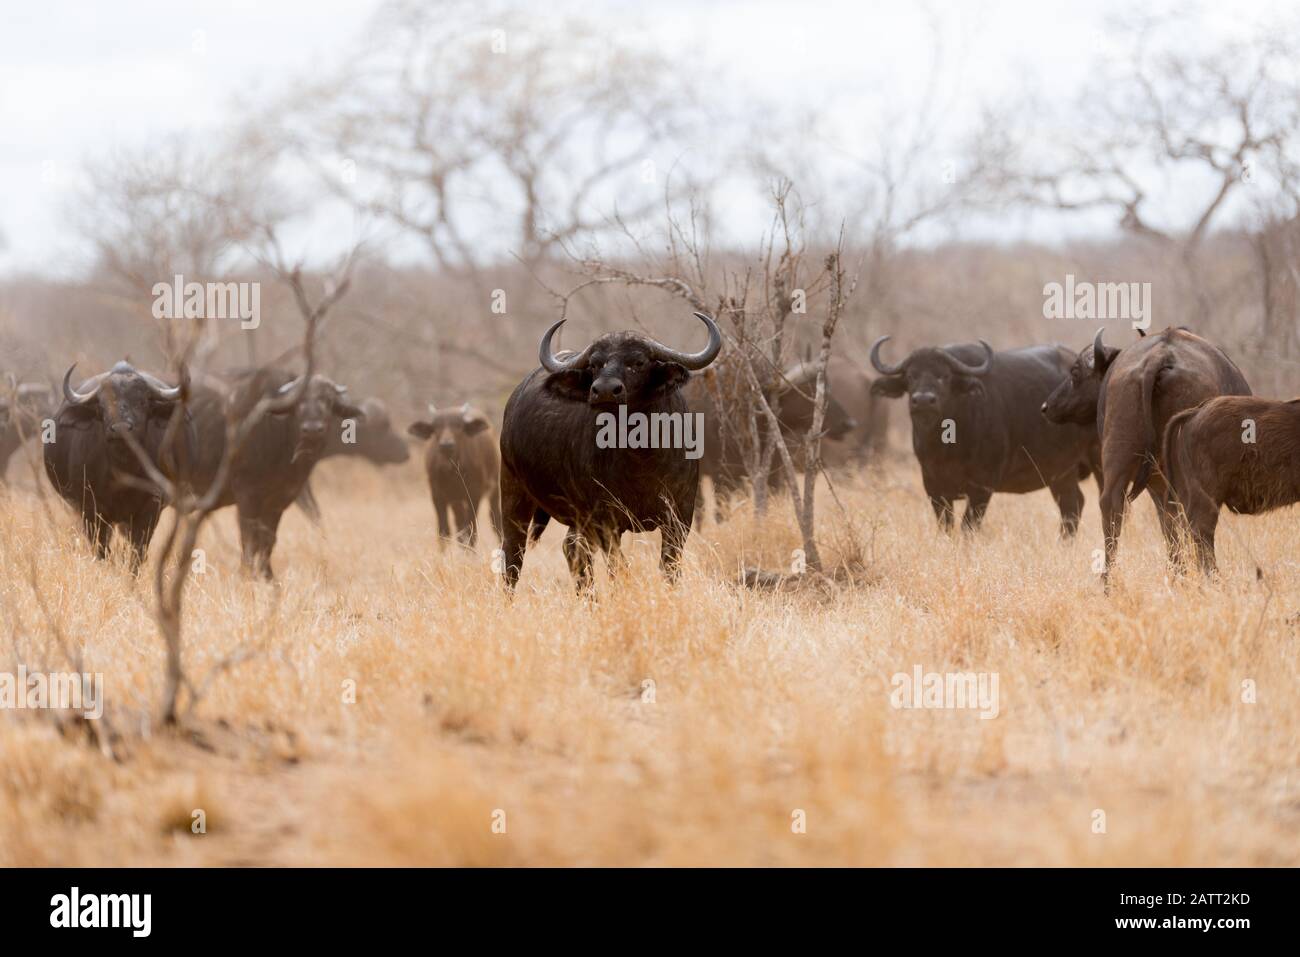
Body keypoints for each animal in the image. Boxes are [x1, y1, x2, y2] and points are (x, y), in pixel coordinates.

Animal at [43, 361, 192, 568]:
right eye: (102, 404)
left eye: (142, 402)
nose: (121, 428)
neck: (123, 471)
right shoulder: (90, 508)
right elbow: (101, 549)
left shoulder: (151, 508)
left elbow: (138, 551)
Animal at [407, 402, 502, 548]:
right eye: (436, 427)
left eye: (459, 426)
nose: (446, 445)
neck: (451, 472)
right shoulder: (438, 495)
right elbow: (444, 532)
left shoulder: (474, 494)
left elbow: (471, 530)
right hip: (455, 500)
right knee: (459, 525)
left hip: (494, 488)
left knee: (495, 520)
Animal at [499, 311, 721, 589]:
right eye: (595, 364)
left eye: (638, 362)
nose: (604, 390)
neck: (641, 456)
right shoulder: (605, 521)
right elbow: (619, 568)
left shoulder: (680, 517)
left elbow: (669, 568)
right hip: (513, 490)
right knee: (513, 556)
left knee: (573, 549)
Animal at [870, 337, 1101, 534]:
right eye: (911, 376)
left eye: (944, 376)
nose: (924, 400)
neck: (944, 446)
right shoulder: (933, 487)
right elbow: (946, 526)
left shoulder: (982, 487)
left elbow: (968, 527)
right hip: (1062, 471)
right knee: (1072, 505)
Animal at [1045, 326, 1251, 581]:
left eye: (1075, 372)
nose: (1046, 406)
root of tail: (1160, 356)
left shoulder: (1157, 482)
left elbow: (1169, 522)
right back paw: (1209, 574)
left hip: (1120, 452)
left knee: (1112, 505)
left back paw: (1110, 579)